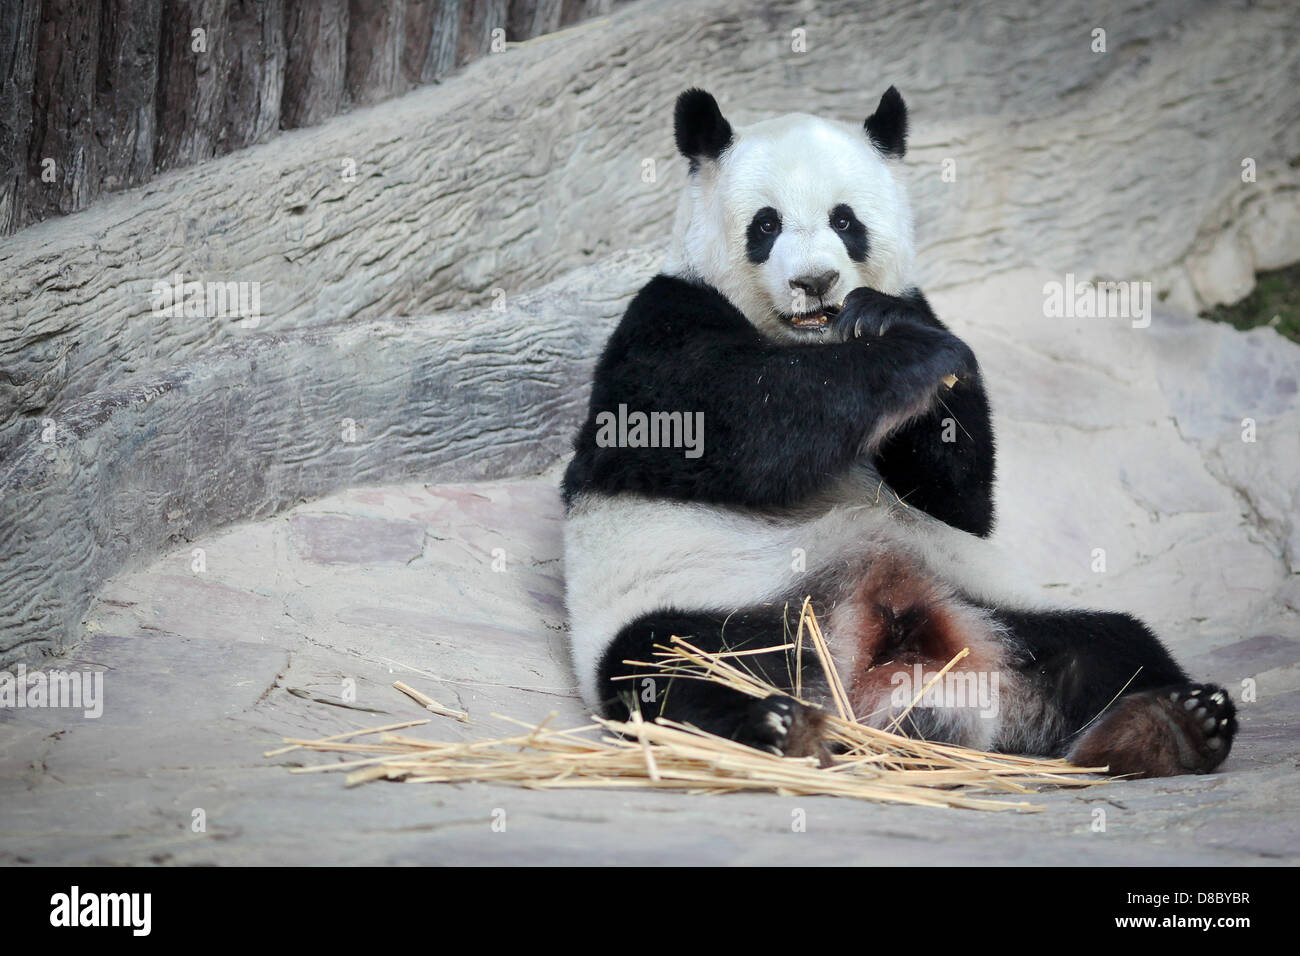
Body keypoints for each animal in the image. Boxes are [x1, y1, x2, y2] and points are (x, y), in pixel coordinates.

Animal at [560, 86, 1237, 778]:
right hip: (714, 604)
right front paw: (907, 355)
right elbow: (736, 424)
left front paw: (889, 323)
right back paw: (777, 728)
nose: (815, 282)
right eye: (766, 225)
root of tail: (870, 677)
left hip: (997, 604)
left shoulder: (919, 314)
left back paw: (1171, 726)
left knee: (1111, 646)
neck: (808, 339)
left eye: (845, 221)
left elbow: (958, 503)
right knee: (672, 669)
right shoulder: (662, 322)